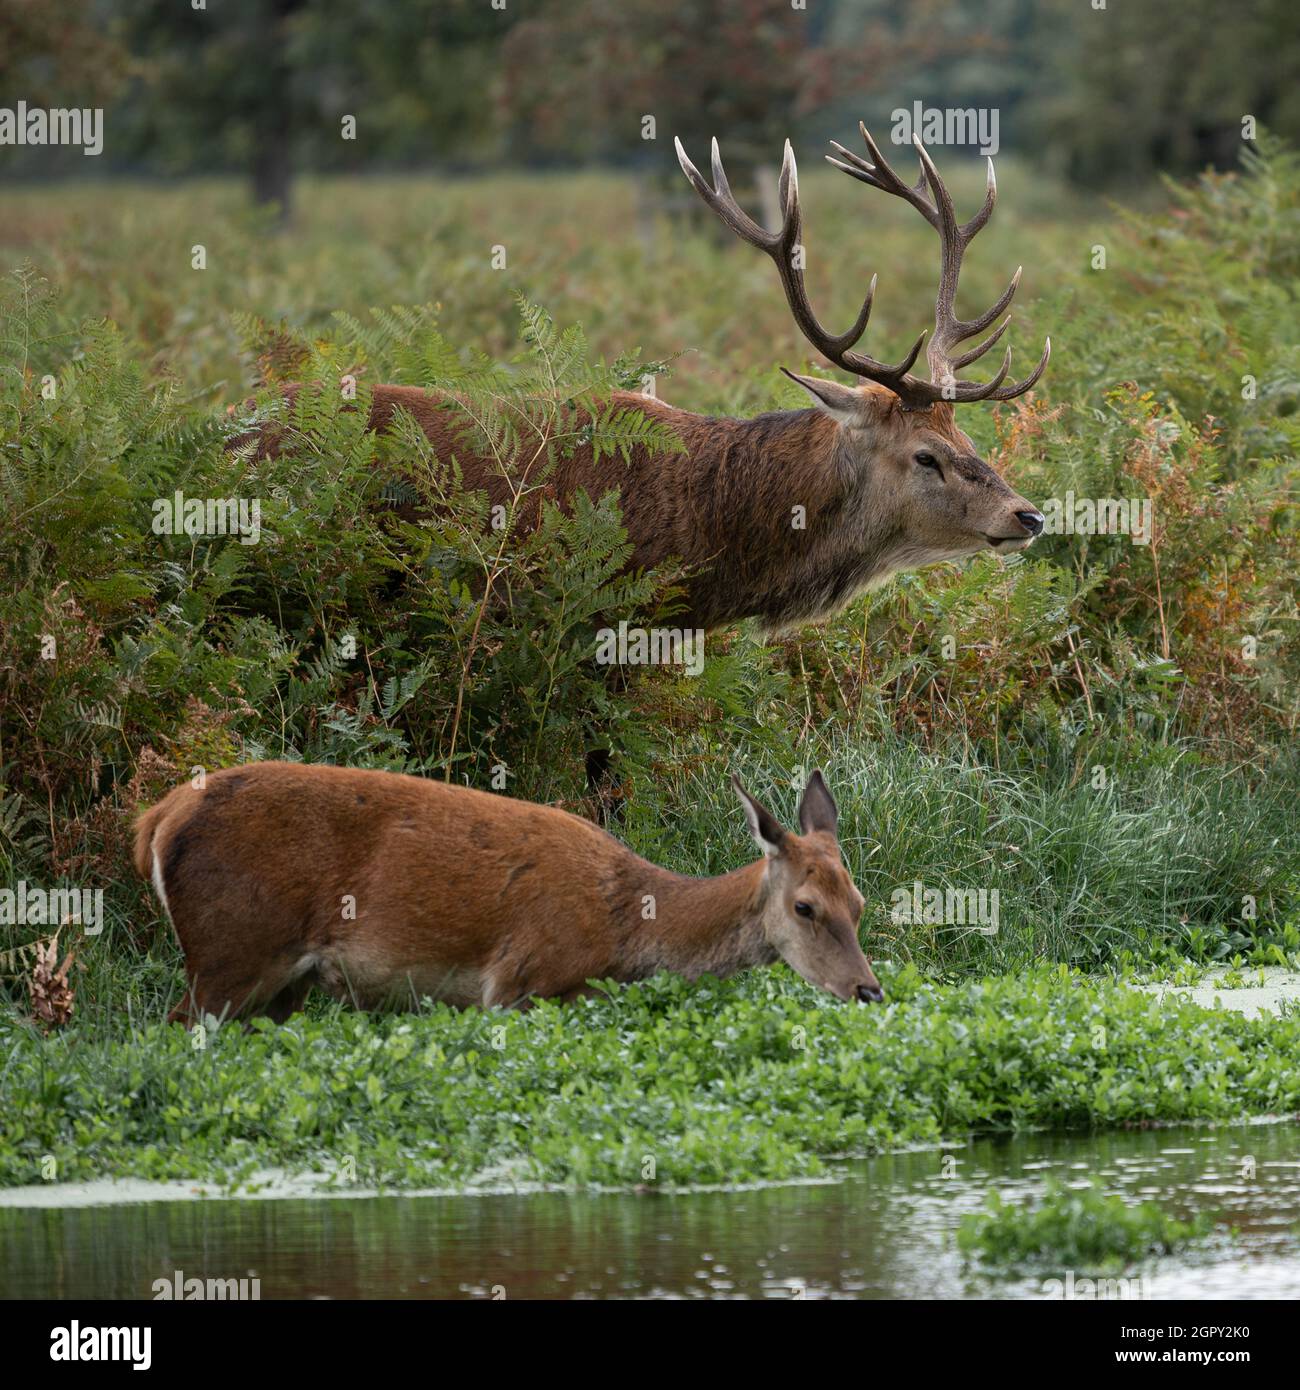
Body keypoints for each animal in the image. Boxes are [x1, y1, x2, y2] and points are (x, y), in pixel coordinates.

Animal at [134, 762, 883, 1022]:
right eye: (805, 907)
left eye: (860, 904)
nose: (868, 989)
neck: (623, 928)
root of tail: (157, 821)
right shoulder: (522, 979)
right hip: (230, 949)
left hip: (280, 982)